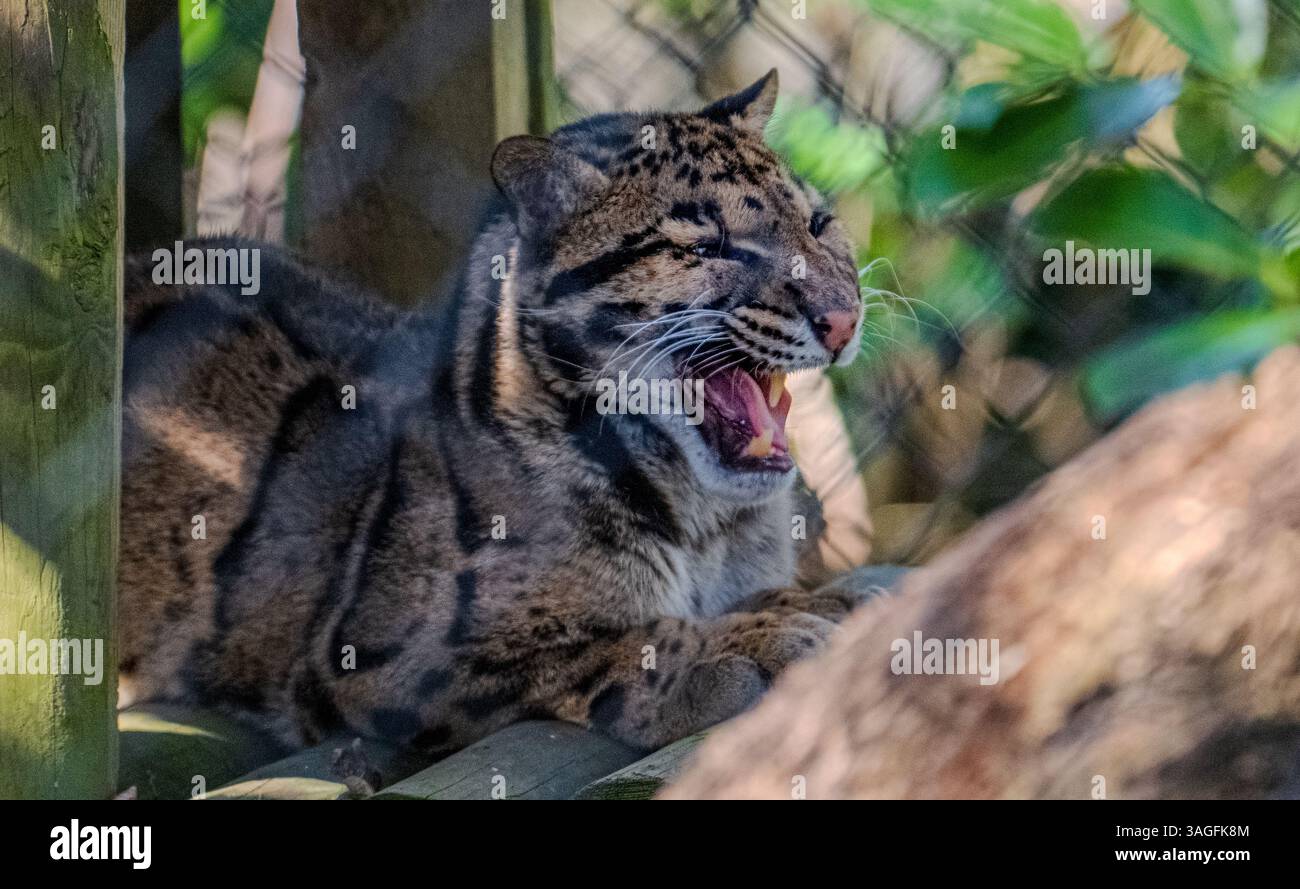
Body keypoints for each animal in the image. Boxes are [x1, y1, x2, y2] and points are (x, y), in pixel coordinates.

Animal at [118, 70, 868, 756]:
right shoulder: (366, 657)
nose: (843, 319)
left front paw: (801, 605)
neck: (704, 519)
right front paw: (735, 648)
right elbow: (589, 644)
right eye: (705, 246)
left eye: (819, 224)